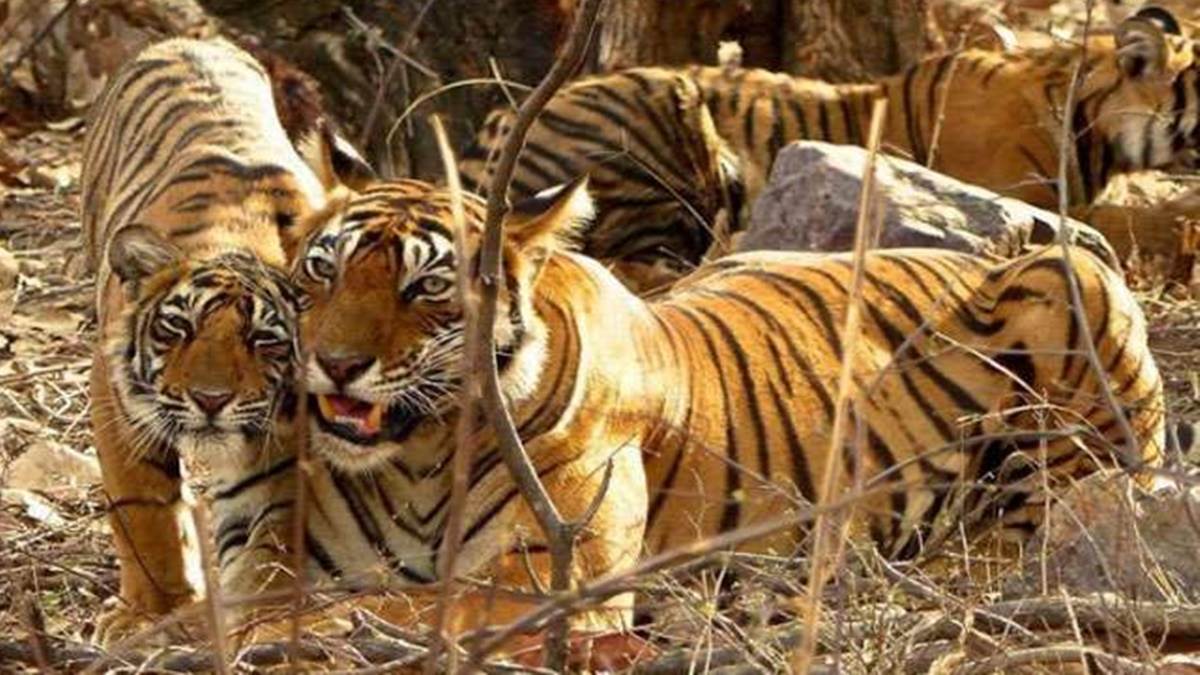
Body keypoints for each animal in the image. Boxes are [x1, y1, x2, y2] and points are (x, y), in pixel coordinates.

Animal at [81, 37, 357, 645]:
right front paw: (150, 613)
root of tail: (194, 39)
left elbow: (278, 523)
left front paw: (266, 617)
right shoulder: (116, 402)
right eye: (178, 329)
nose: (210, 401)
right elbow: (144, 508)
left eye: (265, 342)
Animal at [207, 177, 1164, 657]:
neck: (415, 456)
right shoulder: (279, 548)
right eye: (323, 272)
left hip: (1074, 284)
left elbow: (394, 605)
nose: (336, 363)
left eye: (426, 285)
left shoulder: (546, 585)